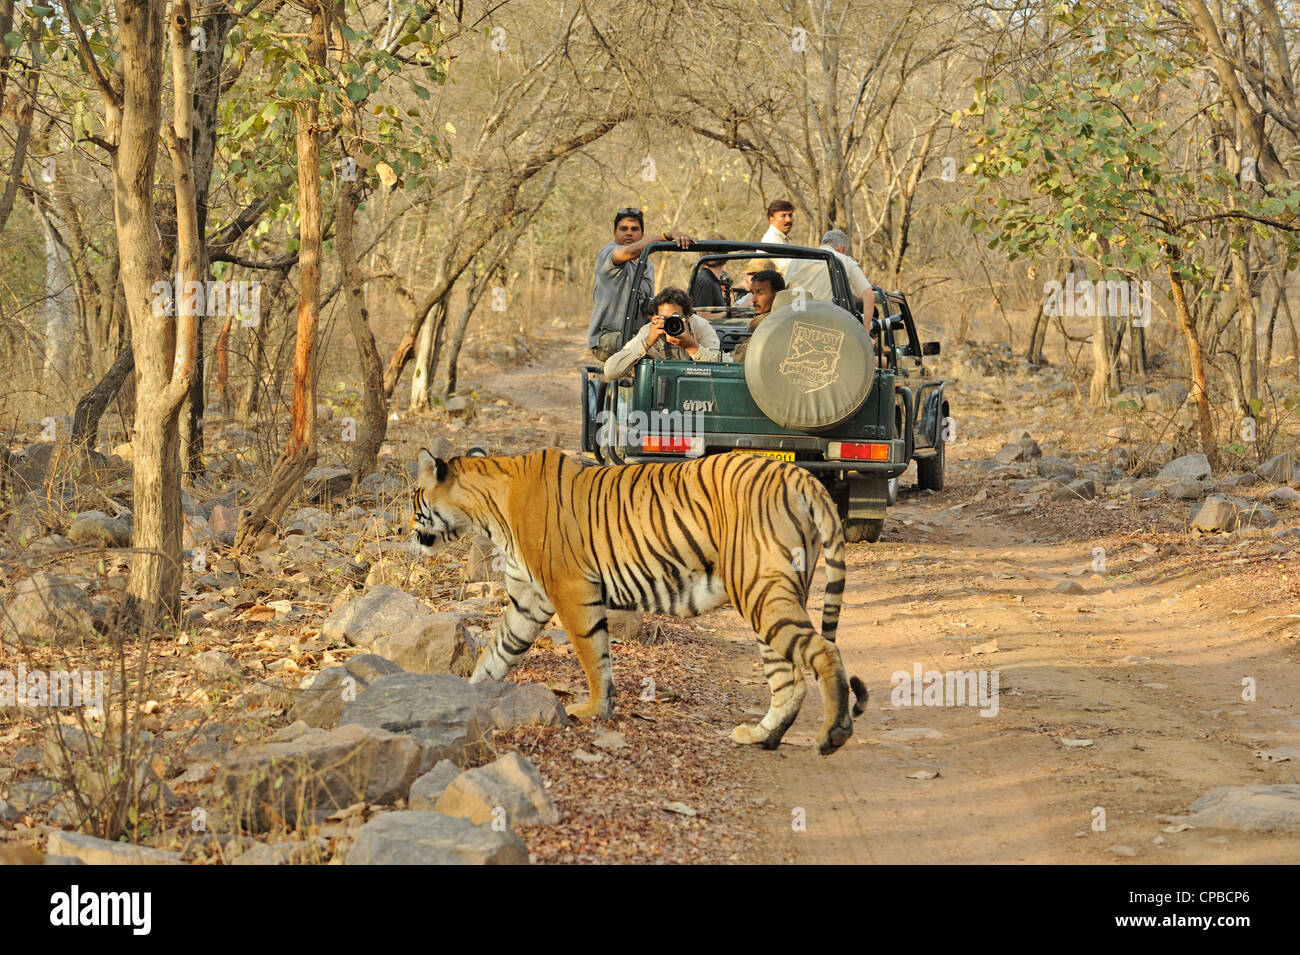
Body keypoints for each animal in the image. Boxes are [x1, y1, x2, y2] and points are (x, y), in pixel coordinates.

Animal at [410, 446, 868, 755]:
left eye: (416, 506)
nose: (407, 533)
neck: (488, 510)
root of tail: (799, 475)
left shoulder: (570, 589)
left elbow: (593, 655)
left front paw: (593, 710)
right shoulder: (530, 599)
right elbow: (497, 653)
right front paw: (467, 696)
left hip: (761, 590)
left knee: (824, 652)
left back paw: (833, 734)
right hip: (769, 597)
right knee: (789, 677)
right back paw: (761, 736)